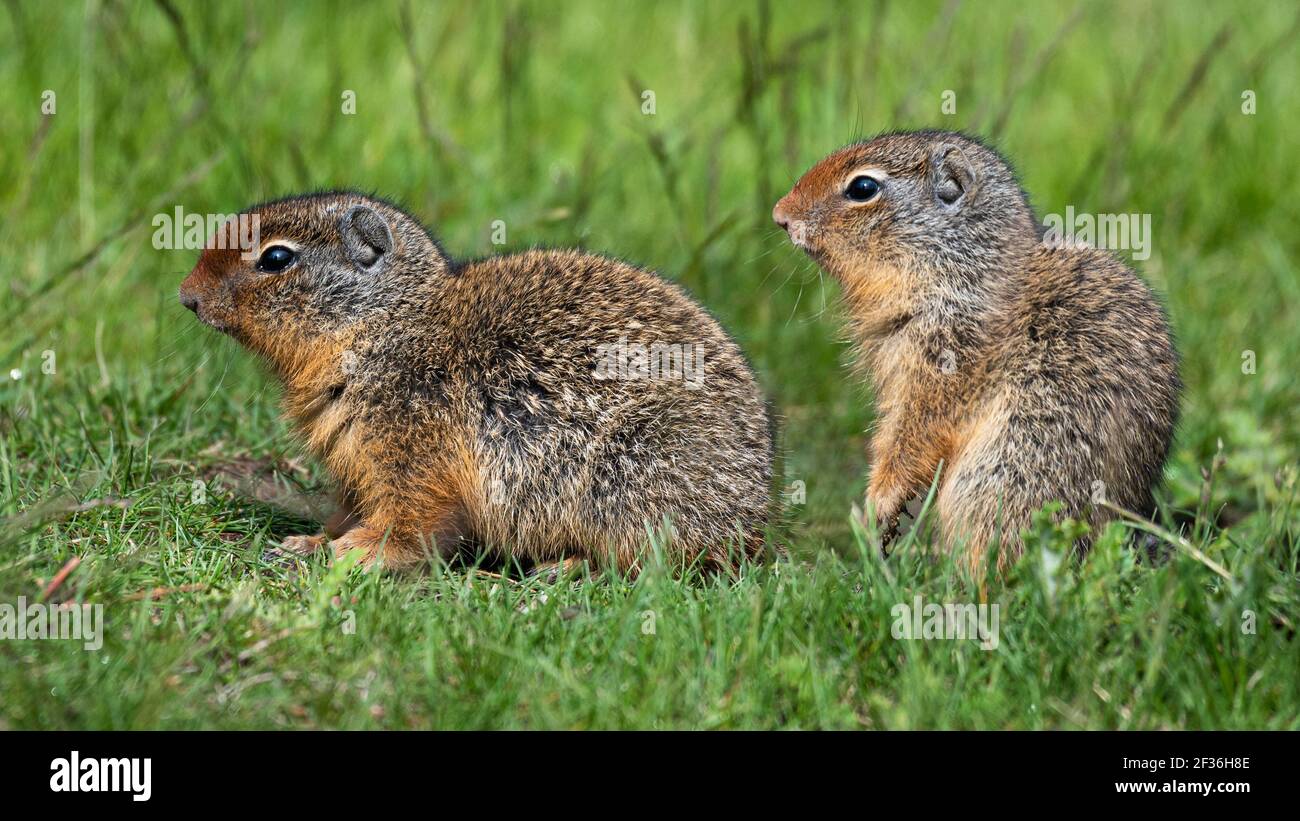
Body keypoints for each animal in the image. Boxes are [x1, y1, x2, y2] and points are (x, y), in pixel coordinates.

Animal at [179, 192, 773, 573]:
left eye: (276, 257)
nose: (186, 296)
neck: (387, 328)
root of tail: (757, 519)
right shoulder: (353, 455)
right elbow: (349, 506)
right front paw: (307, 540)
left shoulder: (412, 441)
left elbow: (411, 515)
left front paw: (357, 551)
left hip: (633, 471)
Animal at [772, 130, 1180, 572]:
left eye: (862, 188)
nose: (780, 215)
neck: (959, 269)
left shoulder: (945, 364)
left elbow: (913, 439)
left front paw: (879, 504)